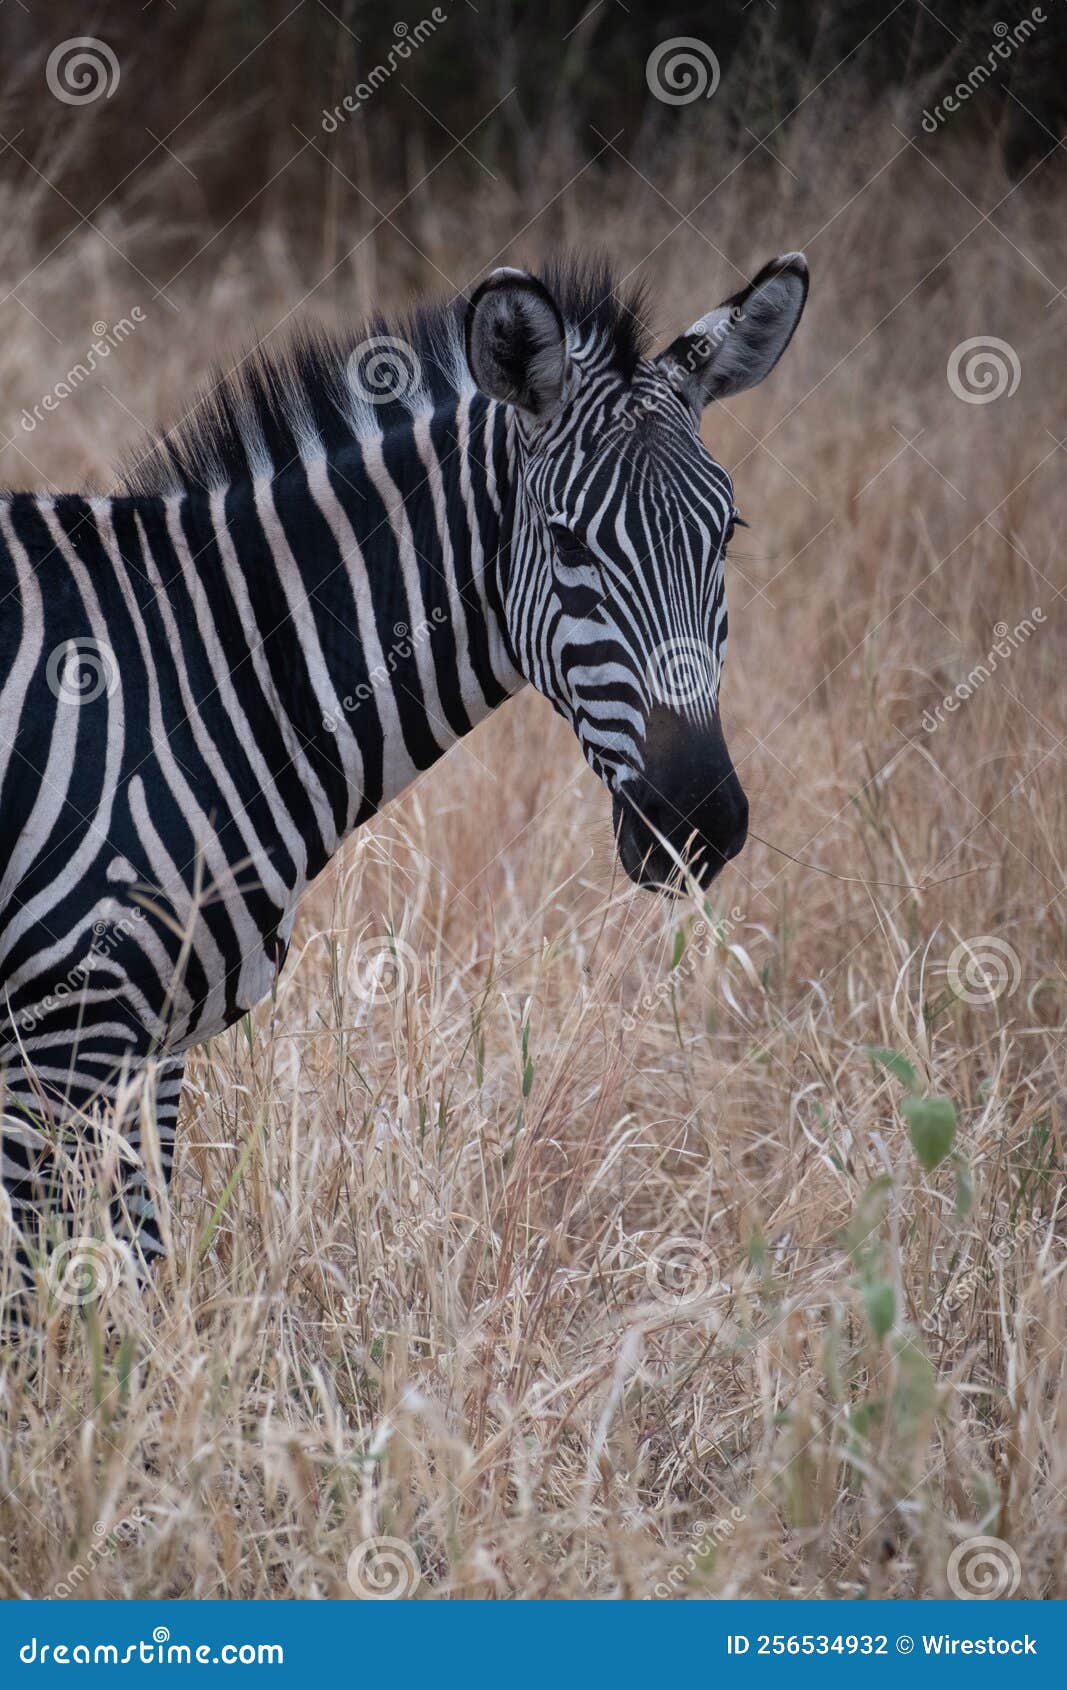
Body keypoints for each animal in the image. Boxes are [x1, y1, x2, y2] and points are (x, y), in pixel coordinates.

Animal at [0, 250, 808, 1304]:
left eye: (726, 535)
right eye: (568, 543)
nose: (698, 817)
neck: (202, 674)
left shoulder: (150, 1051)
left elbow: (134, 1276)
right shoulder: (57, 1035)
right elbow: (40, 1299)